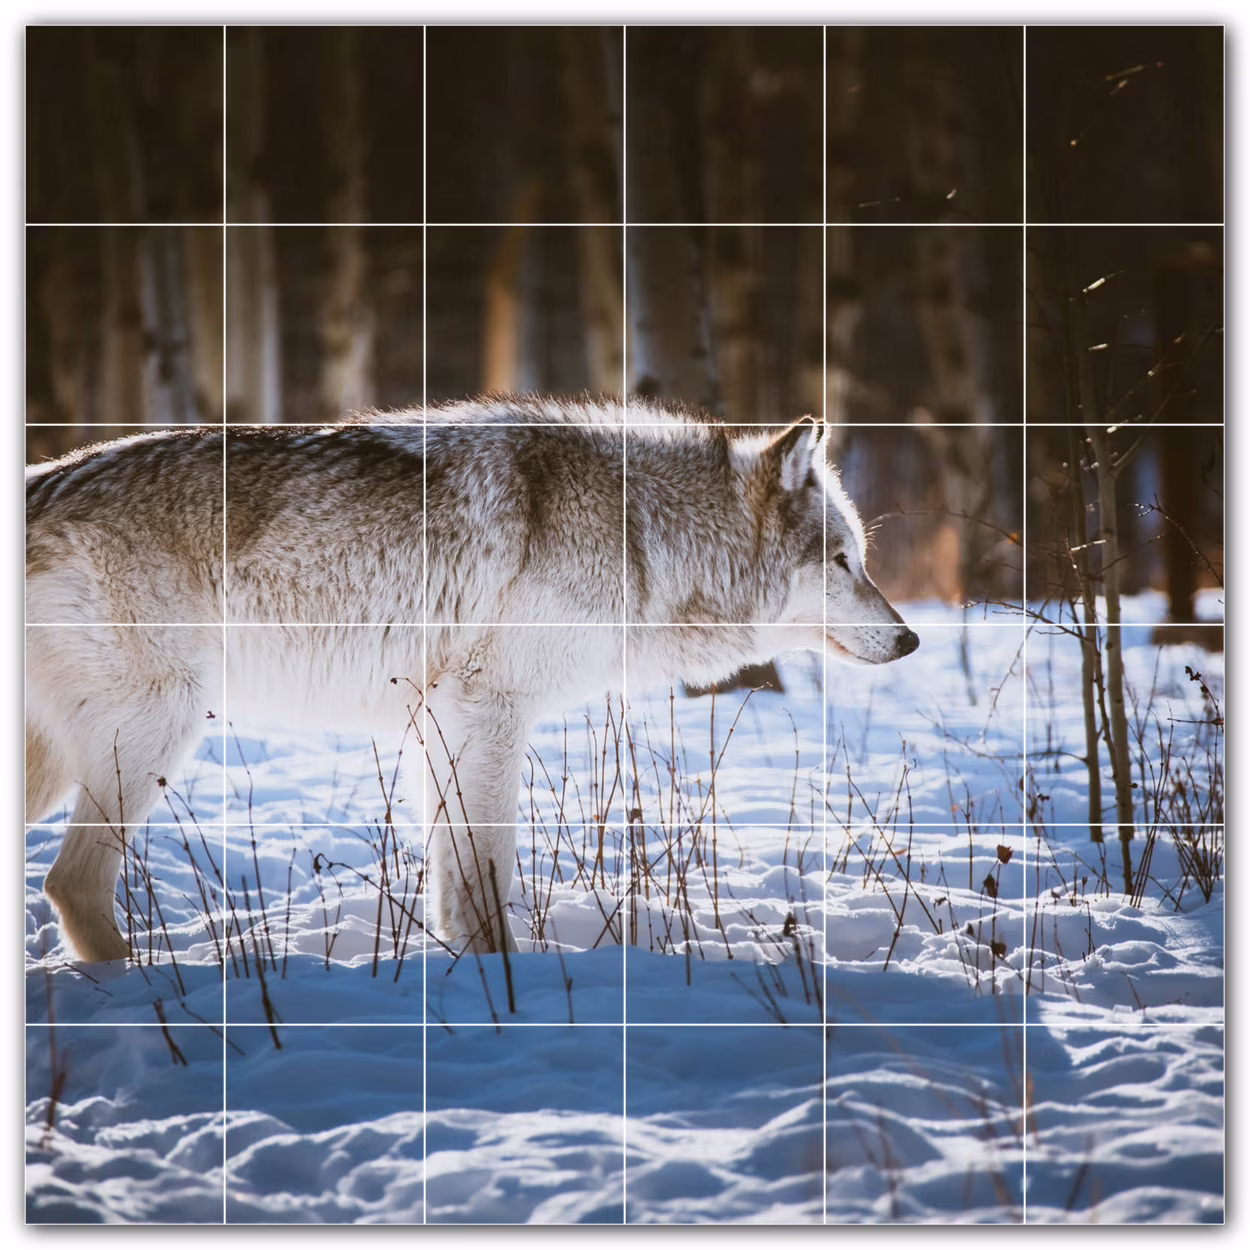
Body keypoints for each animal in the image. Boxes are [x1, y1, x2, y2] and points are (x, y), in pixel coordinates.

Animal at [26, 395, 918, 961]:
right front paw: (507, 976)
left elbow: (452, 878)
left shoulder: (441, 723)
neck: (642, 534)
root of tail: (43, 483)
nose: (910, 638)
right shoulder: (490, 711)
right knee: (70, 885)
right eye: (844, 562)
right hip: (157, 732)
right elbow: (488, 869)